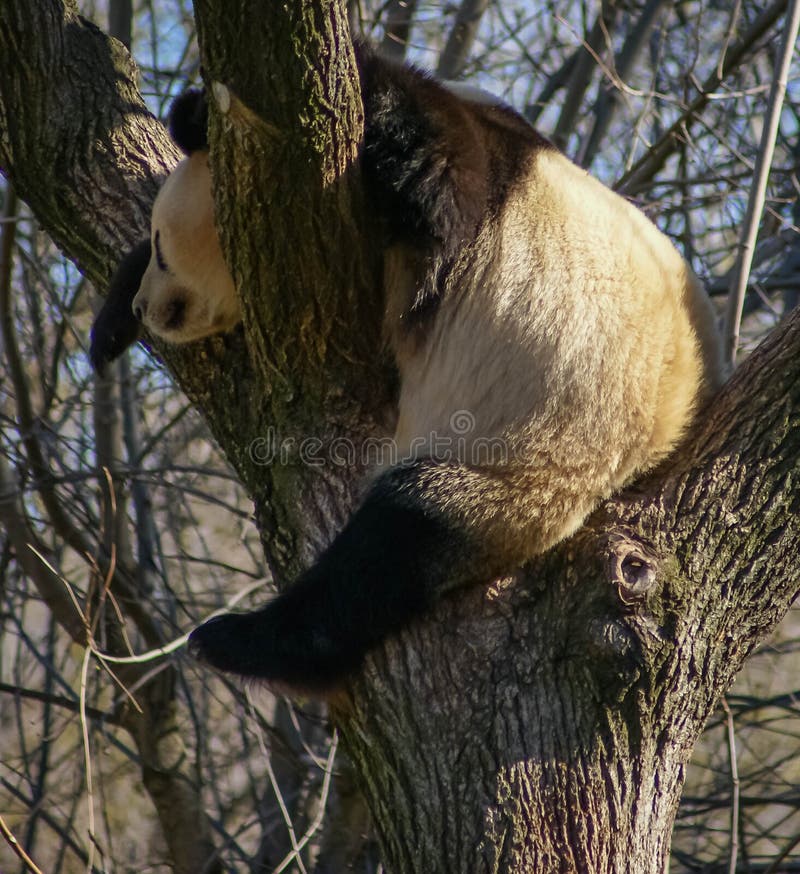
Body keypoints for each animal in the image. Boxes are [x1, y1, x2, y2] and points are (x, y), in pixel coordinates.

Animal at [91, 43, 725, 694]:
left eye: (165, 245)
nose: (146, 307)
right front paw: (109, 322)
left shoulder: (455, 205)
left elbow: (432, 161)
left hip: (529, 463)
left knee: (397, 537)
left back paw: (246, 641)